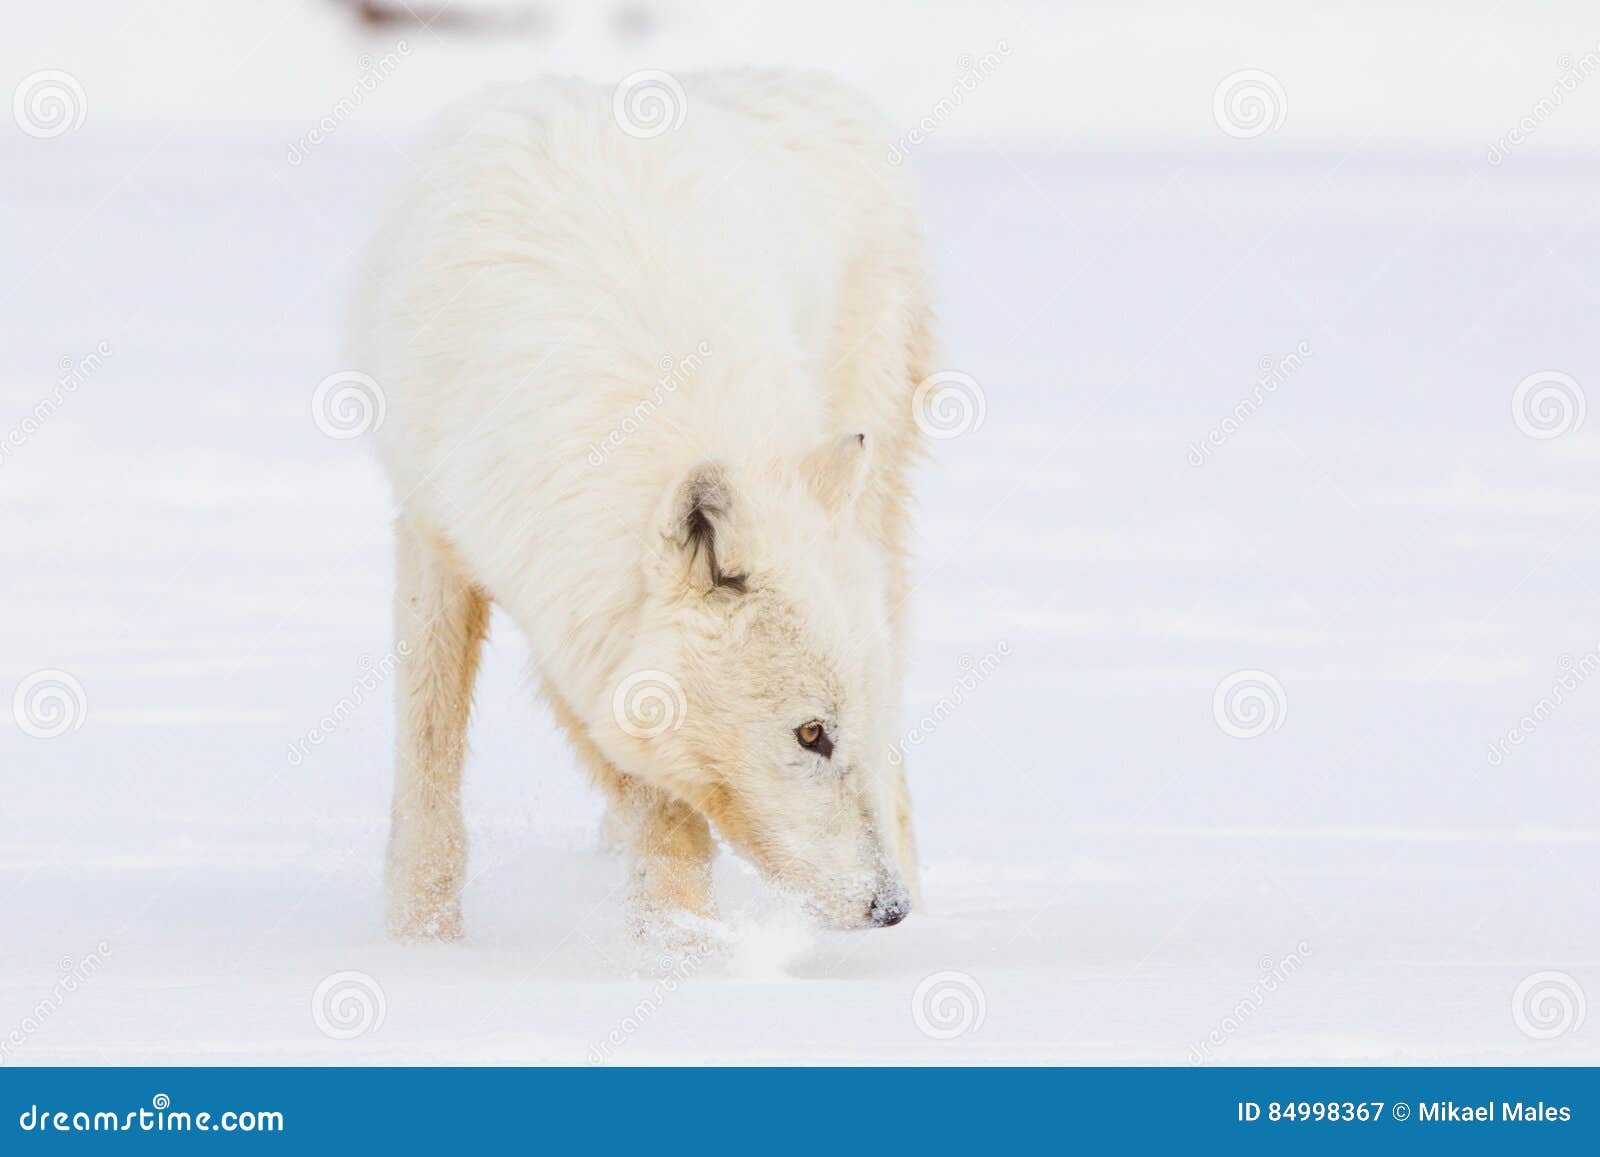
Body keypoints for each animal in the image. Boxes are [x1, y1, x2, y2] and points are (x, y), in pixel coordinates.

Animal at [353, 71, 935, 940]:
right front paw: (423, 943)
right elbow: (431, 760)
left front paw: (682, 950)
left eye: (833, 731)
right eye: (810, 734)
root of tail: (820, 85)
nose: (887, 907)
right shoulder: (444, 535)